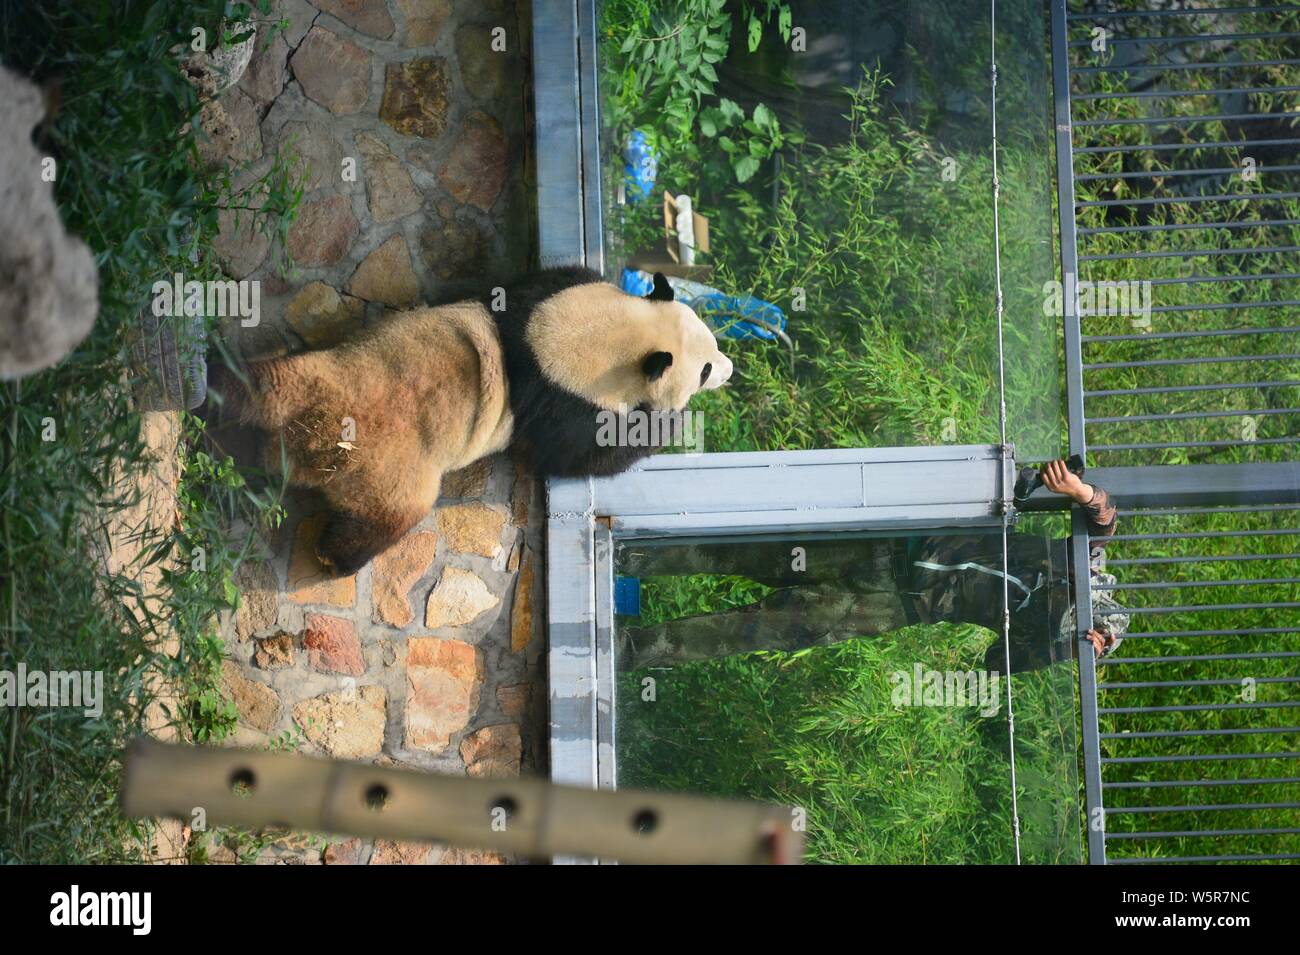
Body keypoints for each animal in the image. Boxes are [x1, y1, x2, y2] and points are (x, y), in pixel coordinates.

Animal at [216, 267, 732, 574]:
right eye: (704, 368)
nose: (728, 369)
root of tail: (319, 428)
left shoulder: (537, 296)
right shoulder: (566, 402)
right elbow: (584, 453)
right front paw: (667, 422)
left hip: (312, 374)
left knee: (251, 387)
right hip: (388, 470)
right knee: (381, 519)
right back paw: (331, 557)